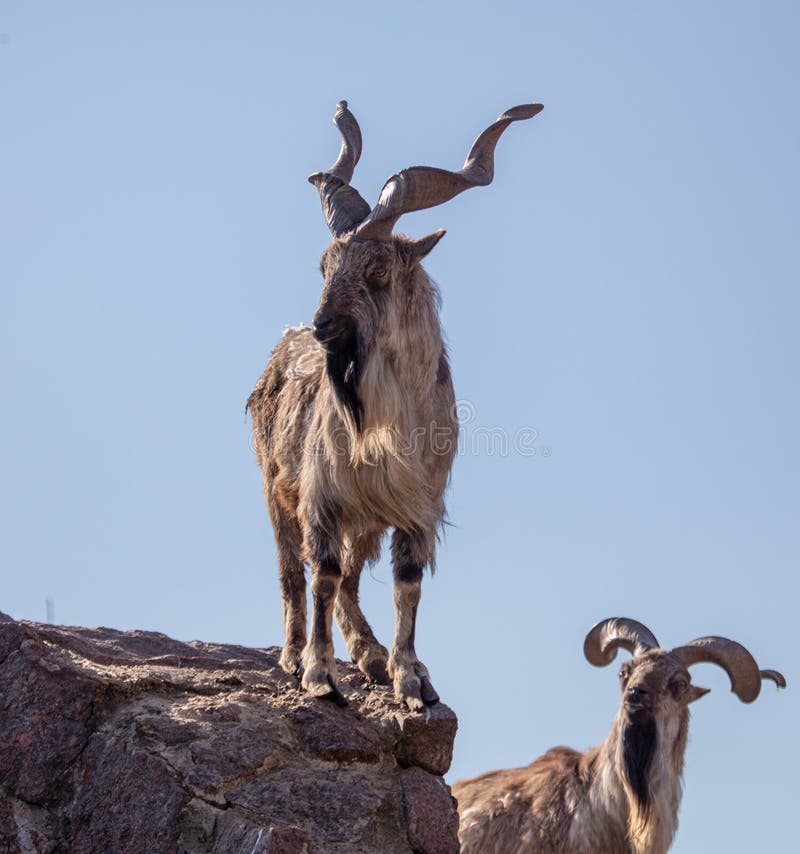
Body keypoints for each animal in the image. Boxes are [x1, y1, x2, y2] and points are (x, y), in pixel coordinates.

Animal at [247, 100, 542, 708]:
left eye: (378, 269)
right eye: (324, 265)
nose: (323, 327)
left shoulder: (414, 506)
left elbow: (406, 586)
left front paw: (410, 677)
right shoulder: (323, 496)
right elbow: (322, 574)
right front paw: (320, 675)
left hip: (364, 522)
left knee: (351, 582)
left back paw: (371, 655)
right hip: (275, 489)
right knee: (294, 572)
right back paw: (293, 654)